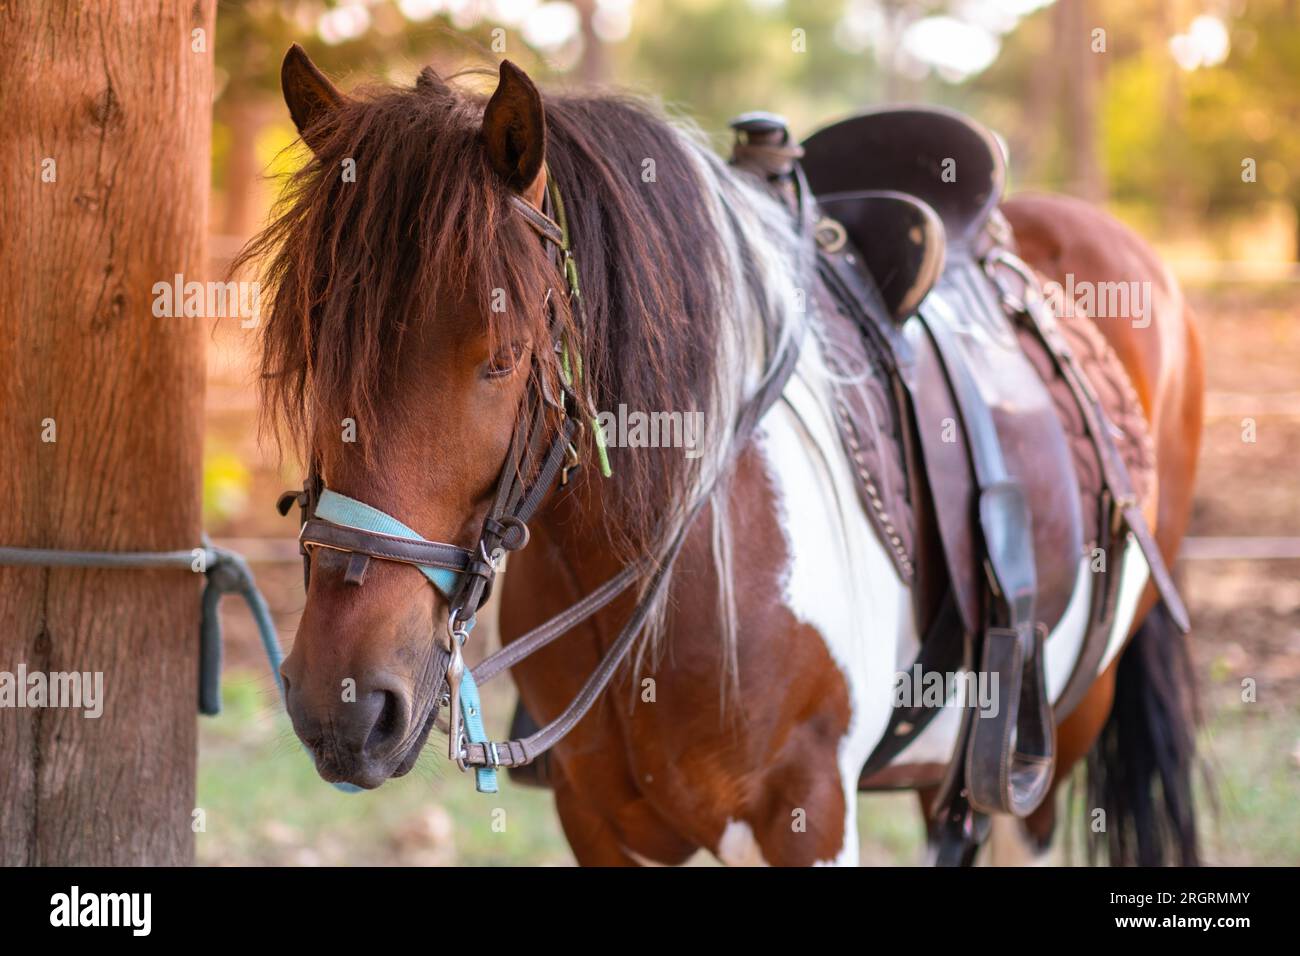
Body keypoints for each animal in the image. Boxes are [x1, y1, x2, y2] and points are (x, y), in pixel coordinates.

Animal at [241, 45, 1204, 866]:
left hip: (1051, 746)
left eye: (504, 358)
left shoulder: (806, 813)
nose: (343, 705)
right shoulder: (600, 822)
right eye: (311, 349)